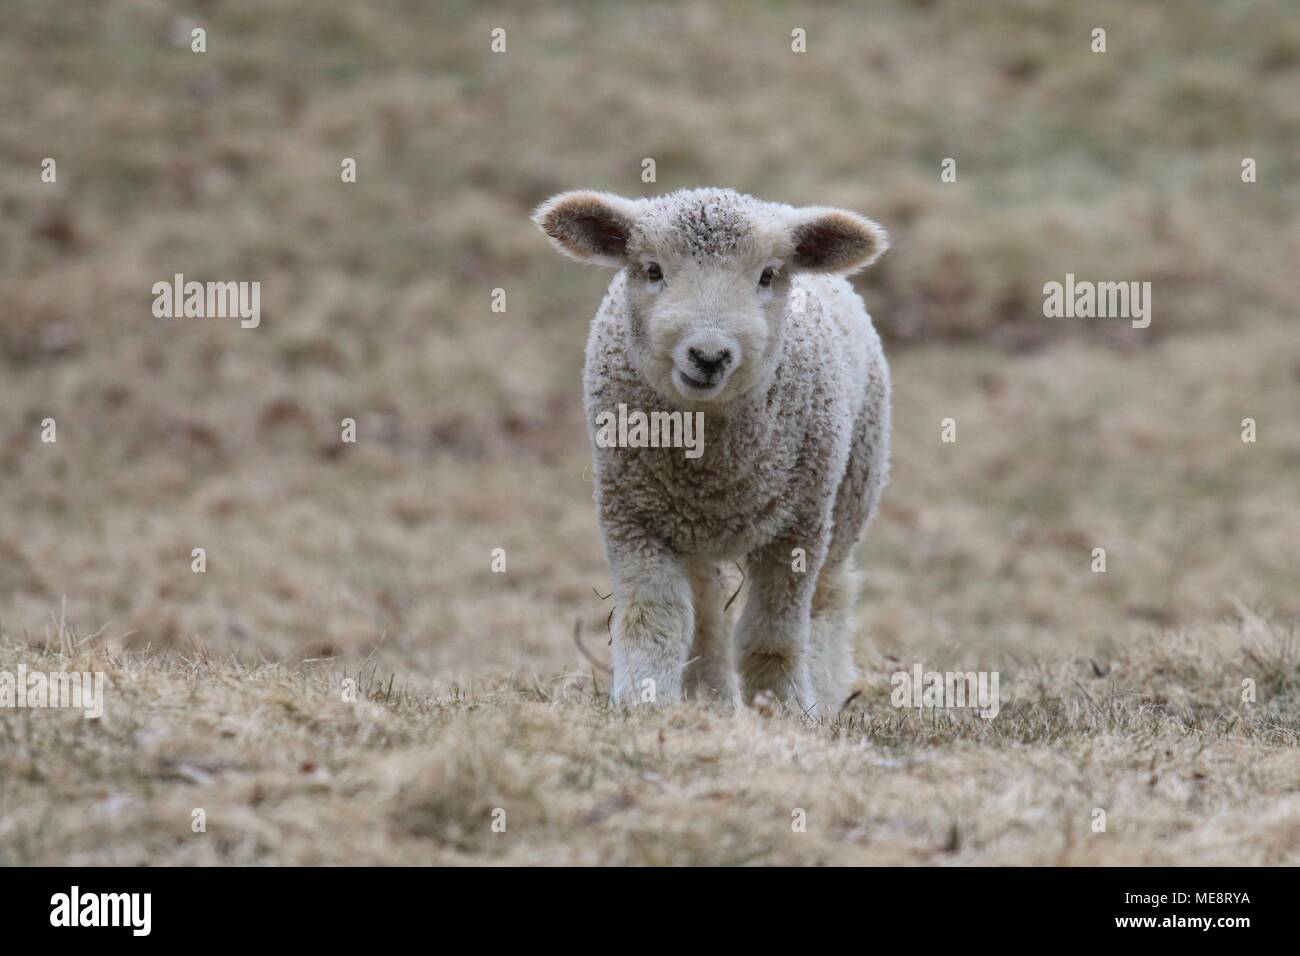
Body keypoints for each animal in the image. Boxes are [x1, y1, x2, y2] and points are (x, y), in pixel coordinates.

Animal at [534, 187, 891, 716]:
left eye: (767, 275)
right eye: (652, 270)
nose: (708, 356)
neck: (714, 467)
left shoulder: (799, 526)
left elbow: (774, 632)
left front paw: (785, 707)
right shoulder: (632, 519)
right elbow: (655, 619)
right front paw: (644, 701)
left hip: (852, 486)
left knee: (829, 595)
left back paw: (823, 694)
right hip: (689, 530)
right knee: (706, 616)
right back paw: (711, 699)